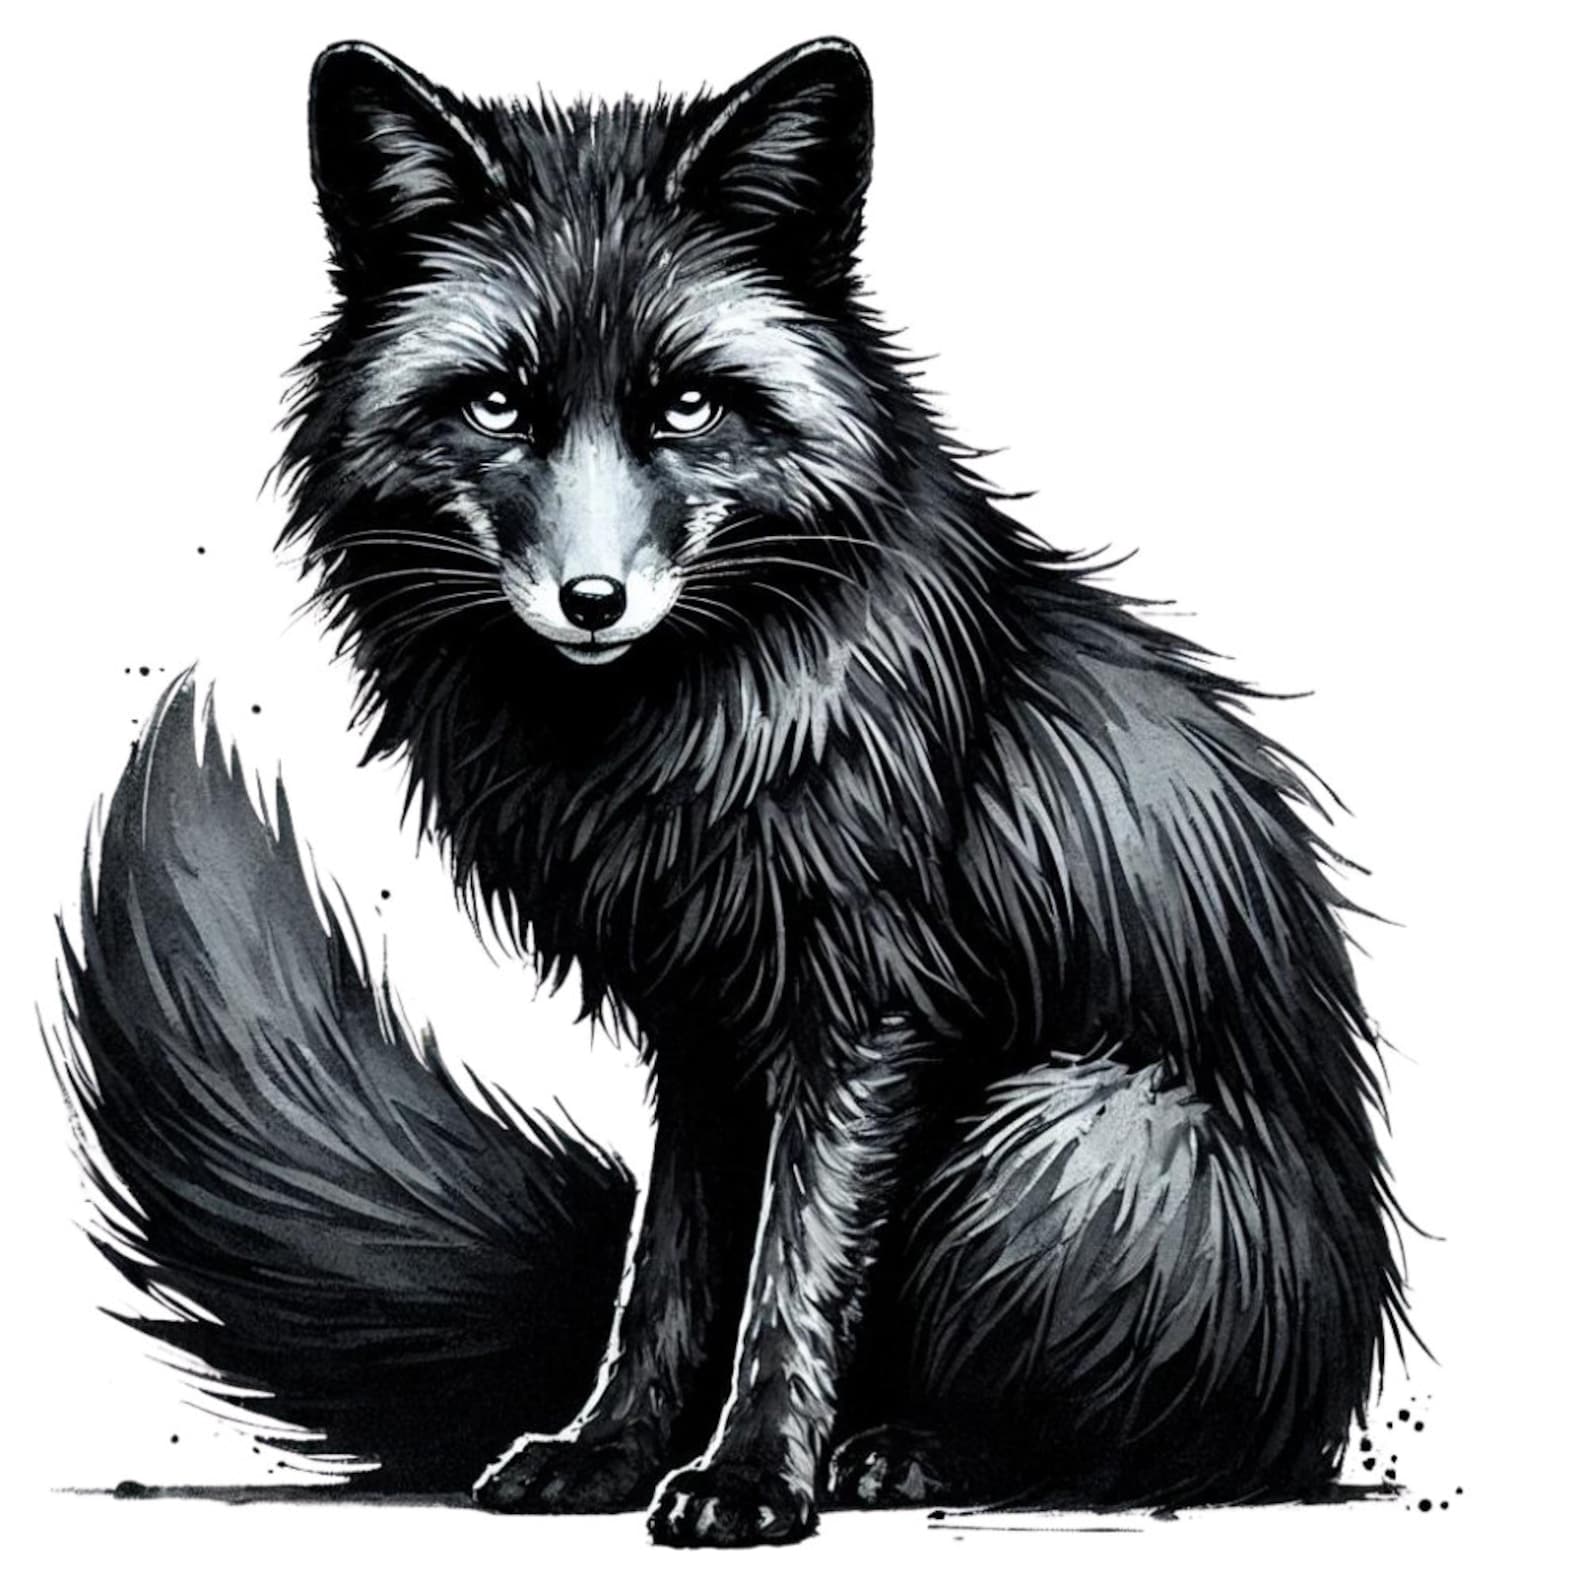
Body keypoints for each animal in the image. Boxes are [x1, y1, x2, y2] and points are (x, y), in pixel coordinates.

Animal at [54, 37, 1408, 1547]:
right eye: (498, 401)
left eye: (687, 402)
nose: (592, 601)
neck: (663, 735)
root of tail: (1334, 1370)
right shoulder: (700, 1028)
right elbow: (671, 1269)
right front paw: (611, 1448)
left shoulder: (863, 1009)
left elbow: (793, 1270)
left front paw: (754, 1474)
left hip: (1074, 1126)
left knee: (1140, 1442)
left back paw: (911, 1450)